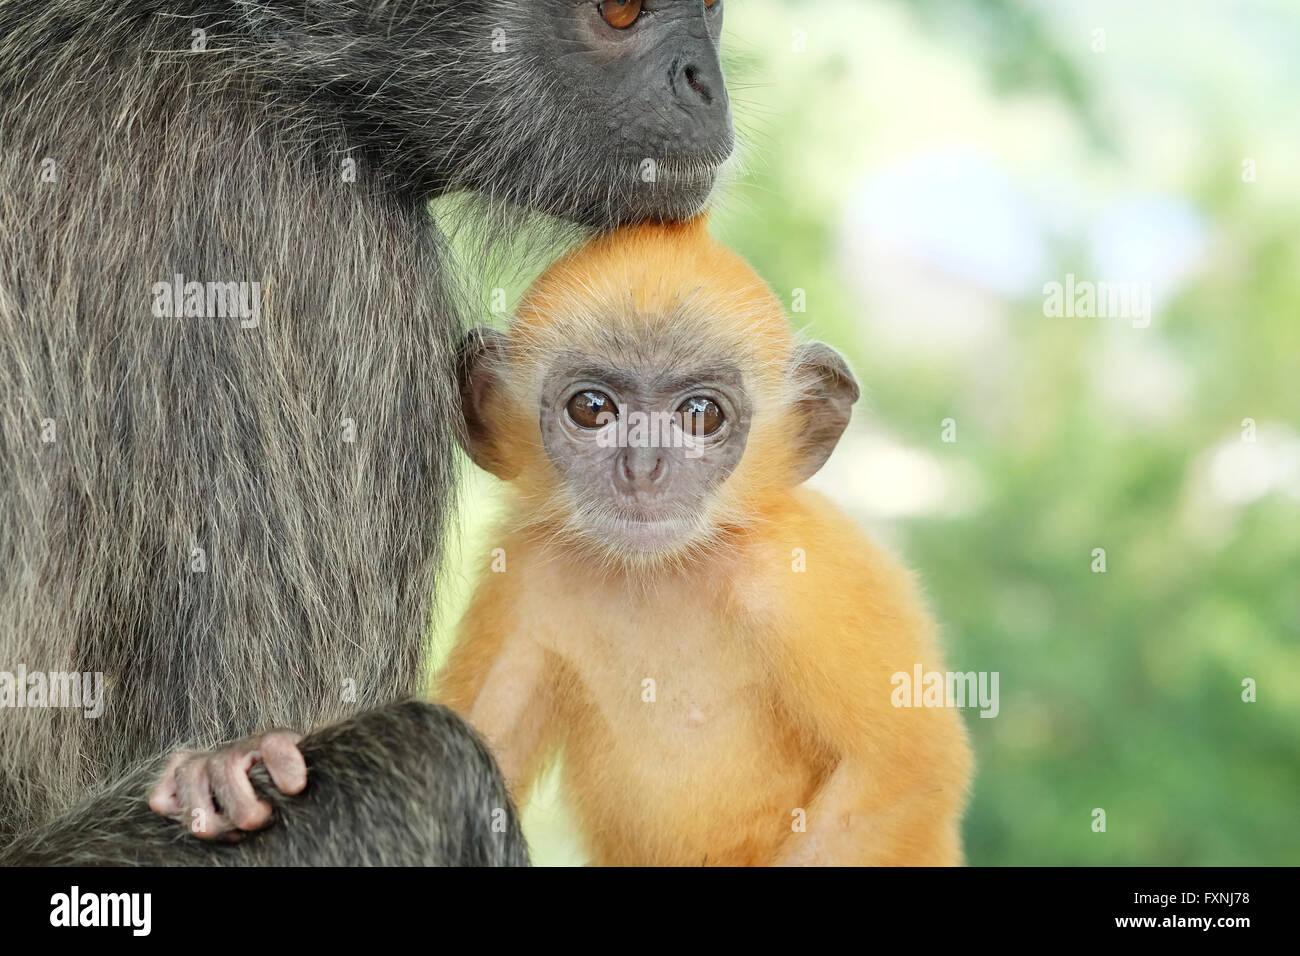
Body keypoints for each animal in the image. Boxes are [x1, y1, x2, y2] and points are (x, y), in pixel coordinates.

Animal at [438, 217, 973, 866]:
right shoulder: (525, 569)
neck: (661, 575)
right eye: (592, 408)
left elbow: (905, 771)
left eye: (700, 414)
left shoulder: (799, 577)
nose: (643, 468)